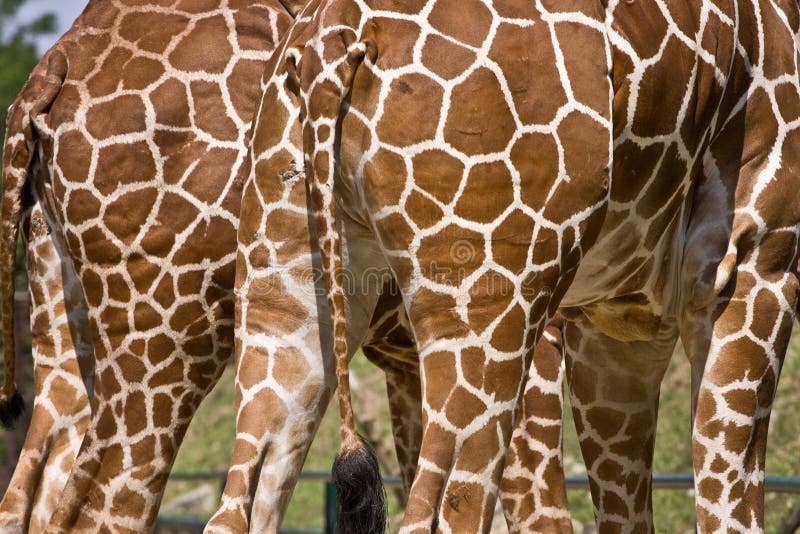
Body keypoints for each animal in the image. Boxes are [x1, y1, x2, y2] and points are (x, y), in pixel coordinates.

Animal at [235, 0, 800, 531]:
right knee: (445, 508)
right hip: (491, 304)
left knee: (246, 495)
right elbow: (731, 496)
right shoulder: (757, 264)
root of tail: (335, 43)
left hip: (285, 292)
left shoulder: (617, 323)